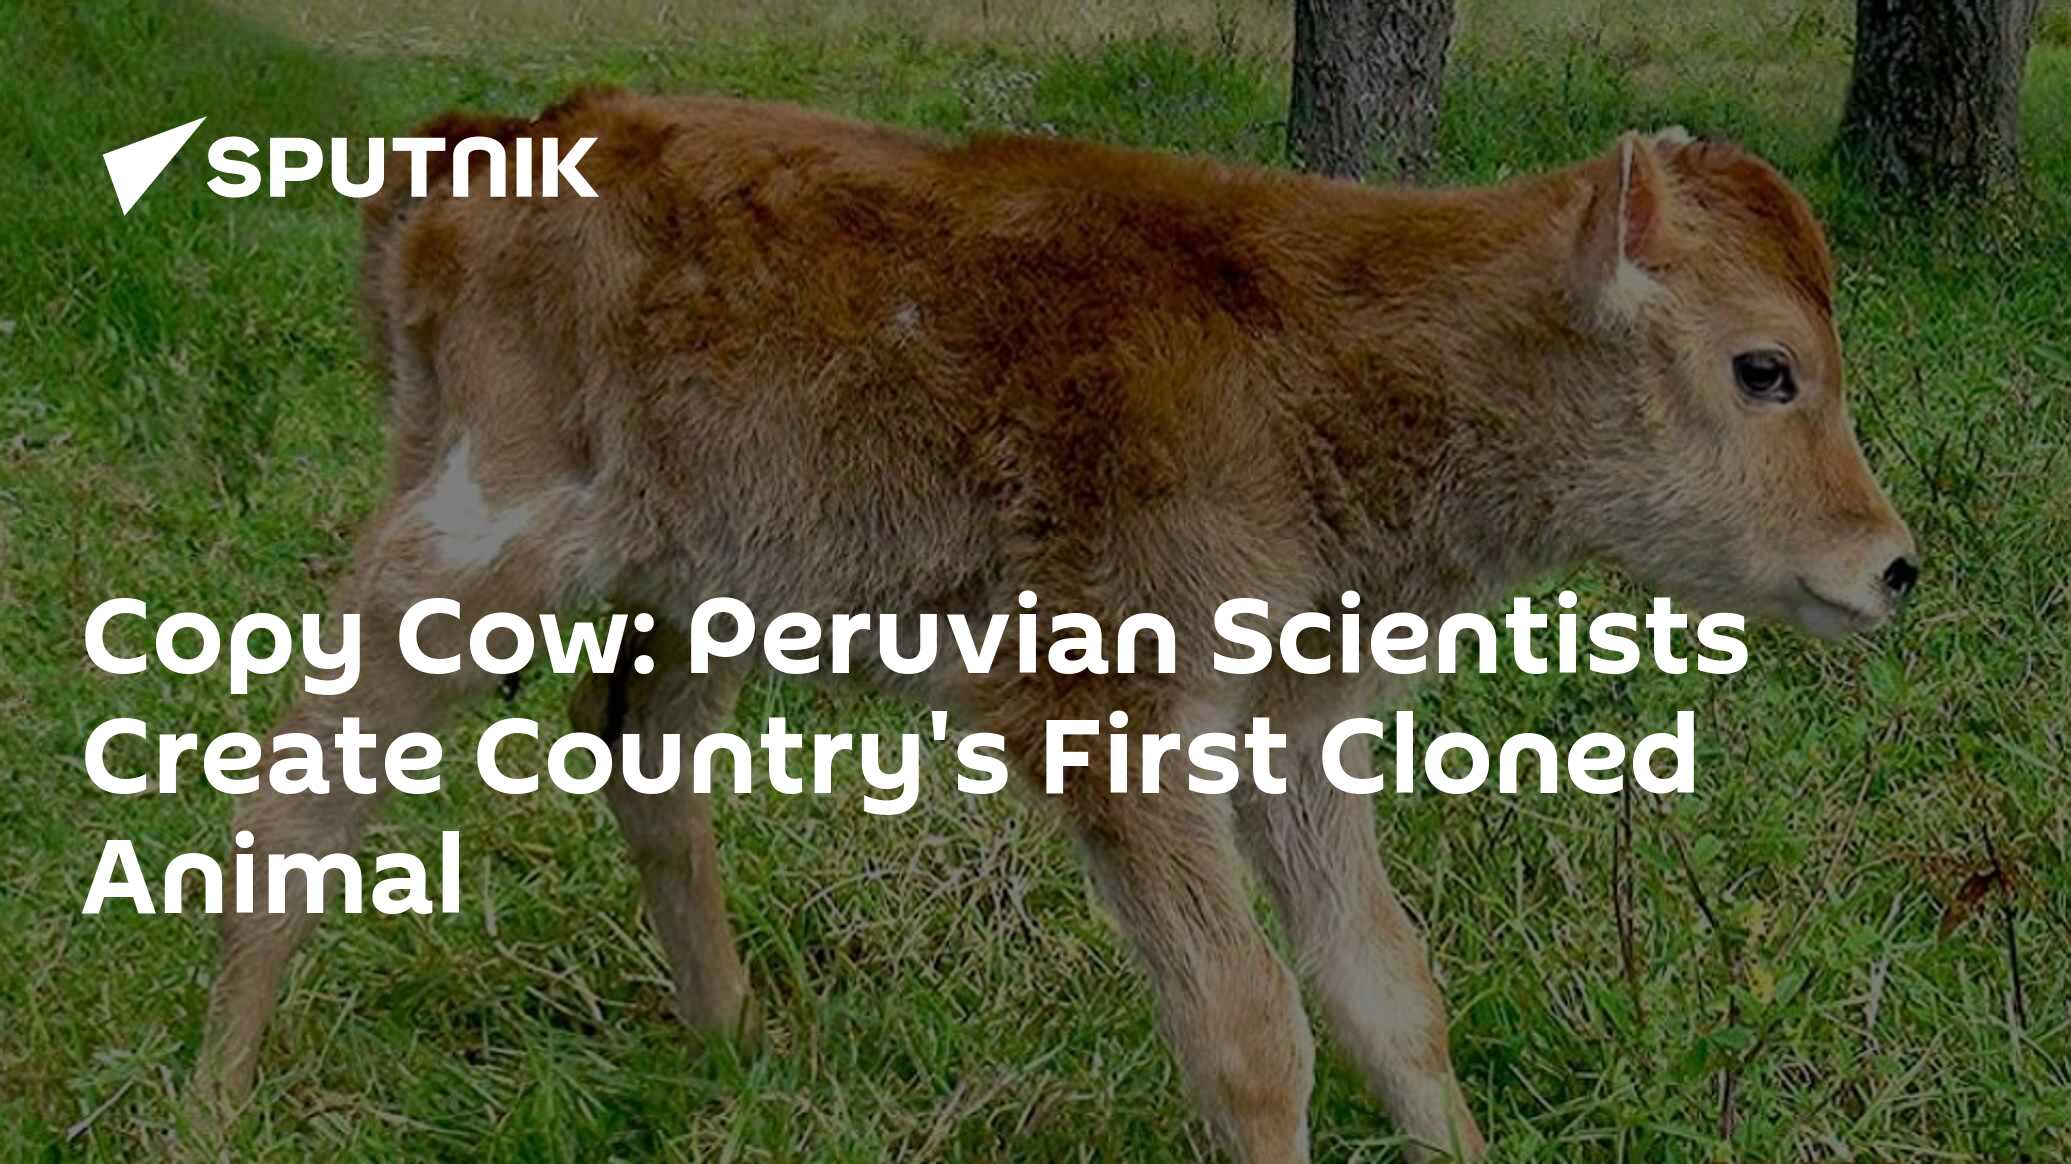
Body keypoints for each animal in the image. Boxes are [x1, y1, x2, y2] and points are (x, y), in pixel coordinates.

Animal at [190, 91, 1917, 1162]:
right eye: (1762, 367)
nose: (1890, 567)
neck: (1312, 351)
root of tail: (489, 146)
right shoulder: (1113, 725)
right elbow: (1249, 1029)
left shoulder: (1298, 730)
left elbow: (1384, 992)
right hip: (475, 539)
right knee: (299, 780)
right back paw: (213, 1099)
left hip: (702, 586)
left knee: (642, 761)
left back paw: (740, 1059)